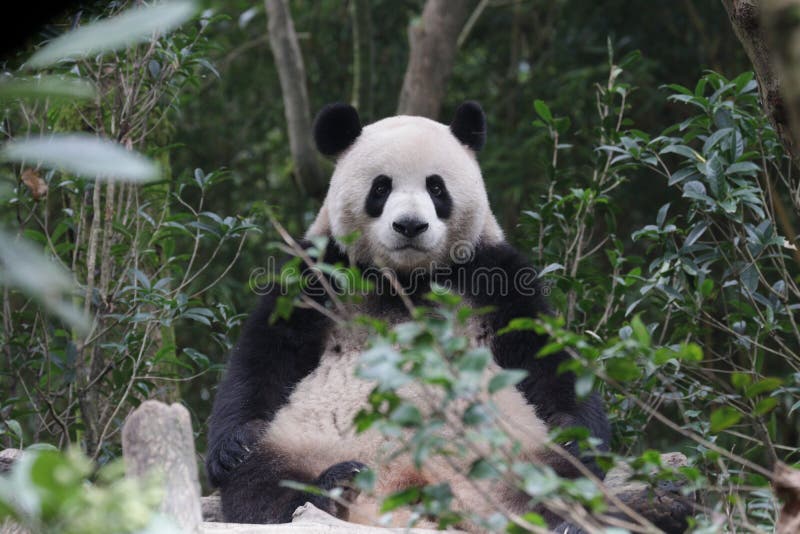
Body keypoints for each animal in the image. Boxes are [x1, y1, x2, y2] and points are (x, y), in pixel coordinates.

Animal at [205, 101, 611, 530]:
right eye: (381, 188)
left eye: (436, 187)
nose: (410, 225)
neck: (407, 280)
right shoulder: (319, 274)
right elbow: (266, 354)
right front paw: (231, 447)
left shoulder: (494, 278)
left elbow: (544, 354)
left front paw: (579, 436)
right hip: (301, 439)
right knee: (261, 477)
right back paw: (328, 488)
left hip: (515, 450)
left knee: (561, 477)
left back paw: (566, 516)